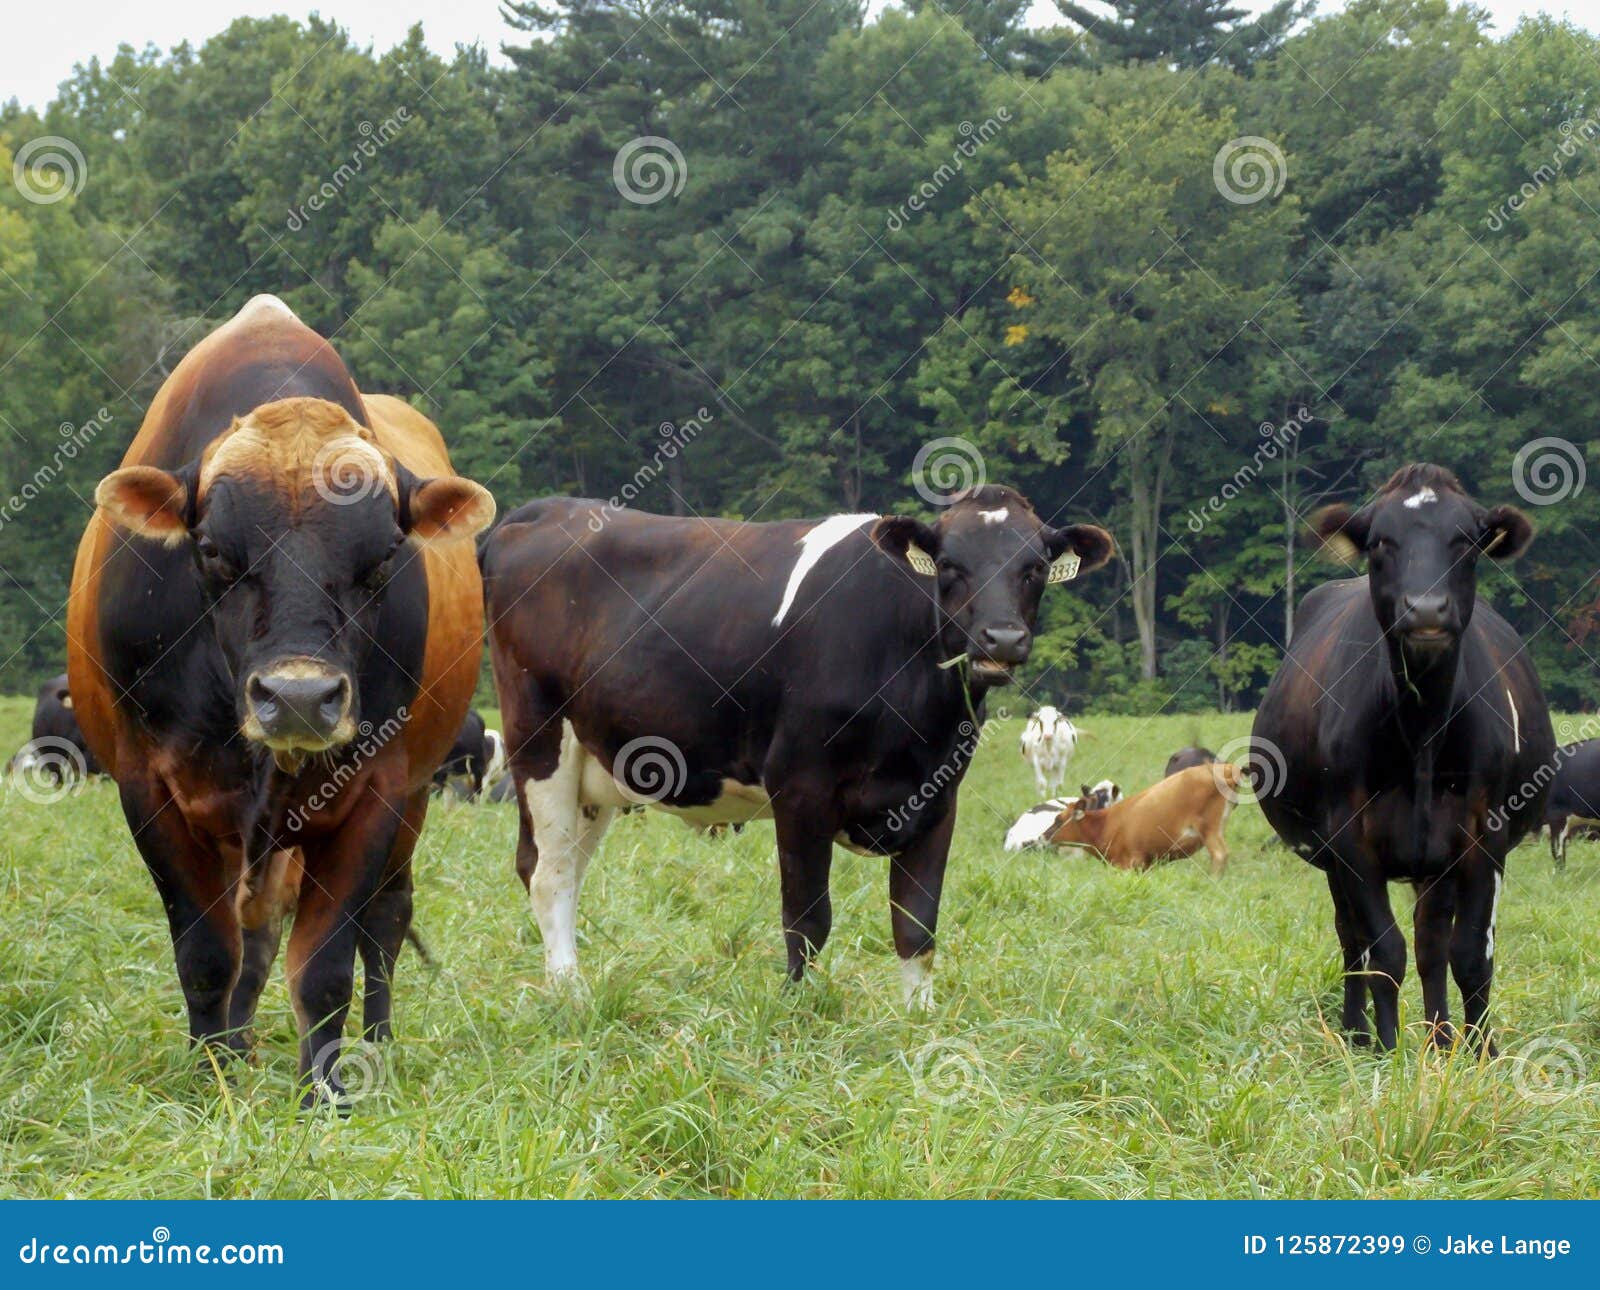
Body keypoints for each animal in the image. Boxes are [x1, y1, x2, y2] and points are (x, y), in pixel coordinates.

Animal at [66, 295, 495, 1104]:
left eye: (384, 556)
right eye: (211, 552)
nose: (299, 698)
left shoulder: (374, 790)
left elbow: (325, 970)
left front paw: (325, 1092)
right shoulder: (149, 791)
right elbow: (209, 957)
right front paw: (212, 1079)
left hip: (414, 797)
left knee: (384, 924)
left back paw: (376, 1046)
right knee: (253, 939)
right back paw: (236, 1052)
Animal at [480, 485, 1113, 1007]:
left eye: (1034, 568)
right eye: (951, 566)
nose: (1001, 638)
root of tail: (541, 510)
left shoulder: (937, 798)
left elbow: (917, 923)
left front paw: (919, 1021)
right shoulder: (801, 787)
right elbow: (807, 918)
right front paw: (796, 1012)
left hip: (595, 770)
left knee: (565, 869)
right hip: (539, 739)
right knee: (548, 872)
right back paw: (571, 994)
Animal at [1044, 763, 1240, 873]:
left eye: (1058, 819)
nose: (1043, 835)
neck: (1106, 823)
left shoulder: (1129, 864)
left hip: (1209, 829)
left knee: (1220, 855)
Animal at [1252, 463, 1553, 1052]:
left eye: (1465, 541)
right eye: (1379, 544)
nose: (1427, 609)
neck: (1422, 730)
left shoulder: (1486, 831)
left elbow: (1470, 954)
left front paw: (1478, 1051)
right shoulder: (1348, 834)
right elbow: (1383, 952)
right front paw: (1388, 1052)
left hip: (1434, 864)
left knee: (1431, 943)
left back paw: (1439, 1039)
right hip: (1334, 858)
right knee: (1352, 941)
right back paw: (1357, 1032)